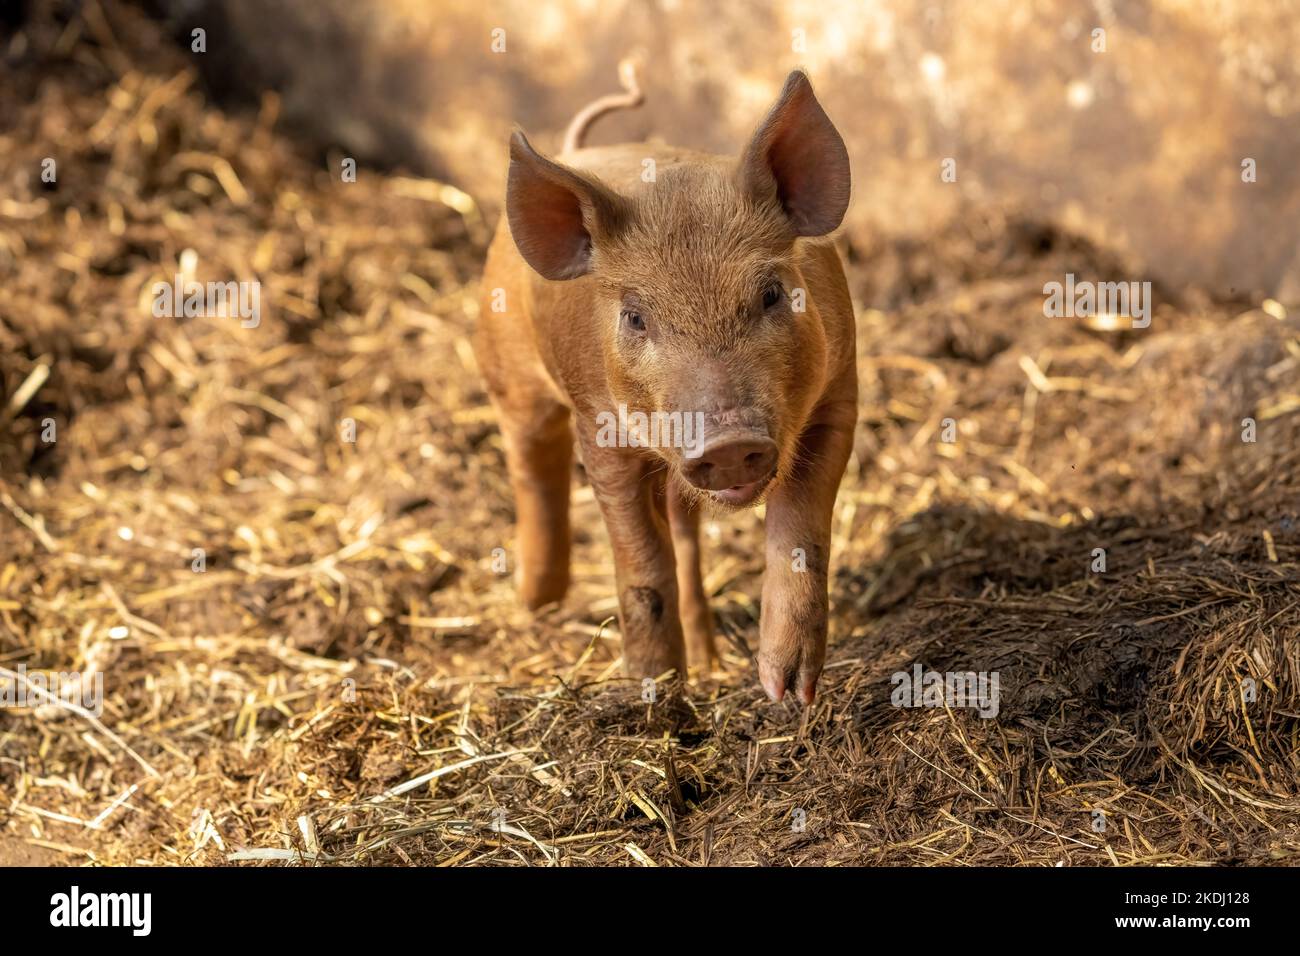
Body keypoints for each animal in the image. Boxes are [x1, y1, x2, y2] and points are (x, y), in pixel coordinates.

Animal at [475, 66, 856, 705]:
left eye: (771, 293)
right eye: (635, 317)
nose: (728, 443)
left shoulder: (839, 398)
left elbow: (801, 534)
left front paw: (788, 691)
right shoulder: (599, 430)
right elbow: (642, 565)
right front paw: (656, 696)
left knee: (685, 534)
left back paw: (708, 664)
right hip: (509, 374)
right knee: (533, 469)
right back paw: (535, 606)